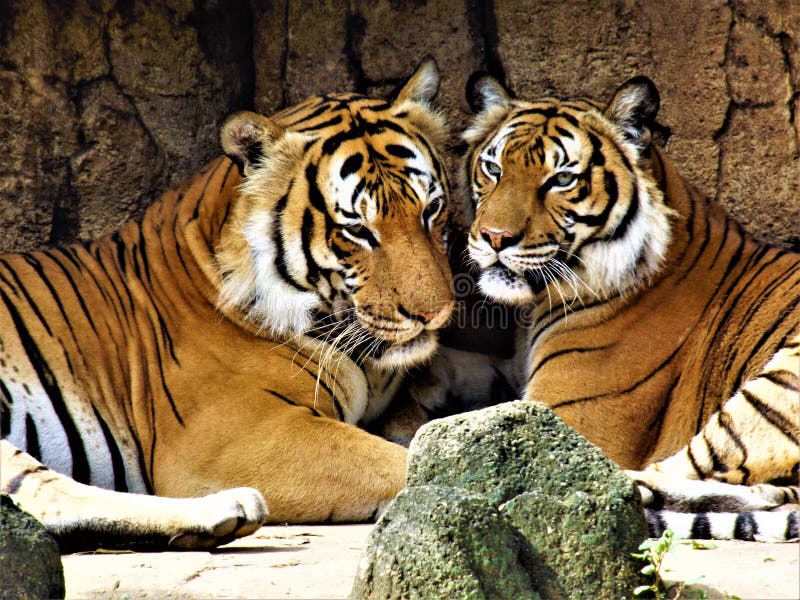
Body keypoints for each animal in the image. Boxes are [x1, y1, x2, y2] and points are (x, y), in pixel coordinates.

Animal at [0, 57, 454, 551]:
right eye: (356, 230)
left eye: (430, 210)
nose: (433, 314)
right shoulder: (237, 437)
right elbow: (409, 461)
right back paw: (226, 510)